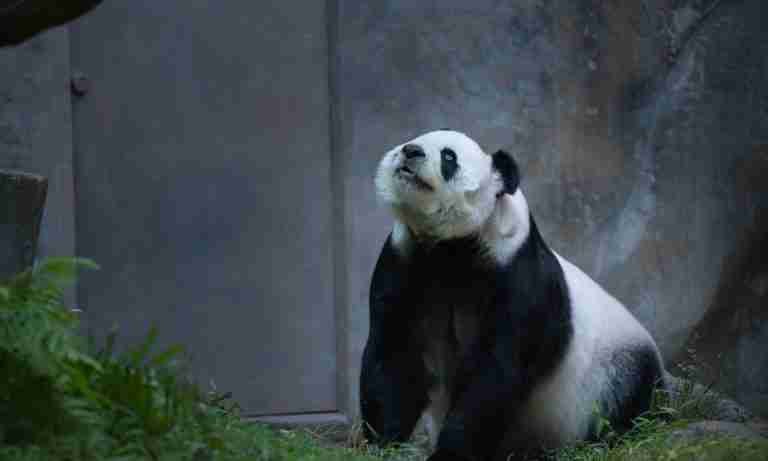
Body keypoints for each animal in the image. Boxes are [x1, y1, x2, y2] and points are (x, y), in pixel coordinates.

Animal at [359, 130, 665, 461]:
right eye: (411, 141)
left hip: (618, 370)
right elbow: (395, 352)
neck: (452, 248)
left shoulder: (517, 273)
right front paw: (385, 443)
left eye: (448, 156)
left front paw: (450, 452)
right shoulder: (405, 261)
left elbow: (498, 369)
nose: (411, 151)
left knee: (627, 406)